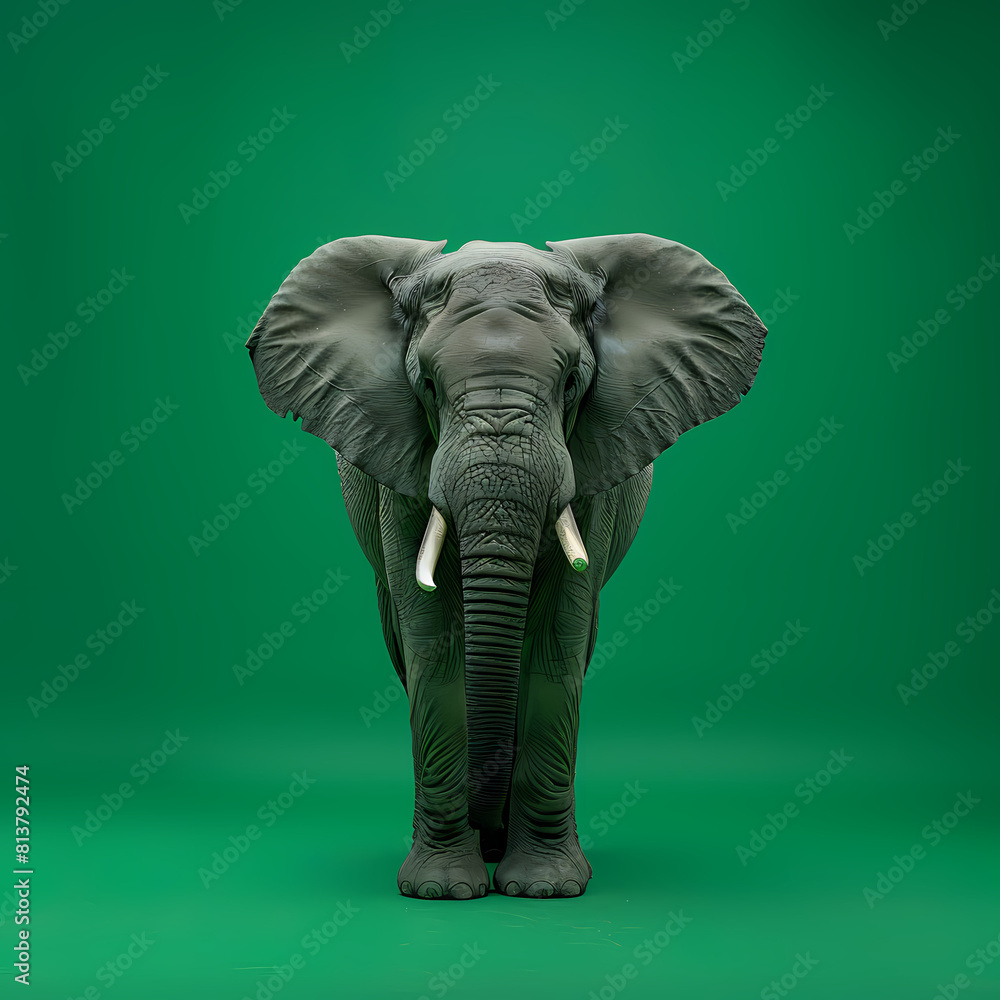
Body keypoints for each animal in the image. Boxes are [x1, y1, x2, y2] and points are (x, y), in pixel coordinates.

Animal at [246, 233, 766, 899]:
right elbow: (434, 645)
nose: (483, 832)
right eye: (428, 384)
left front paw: (544, 888)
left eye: (571, 382)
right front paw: (442, 889)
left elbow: (555, 641)